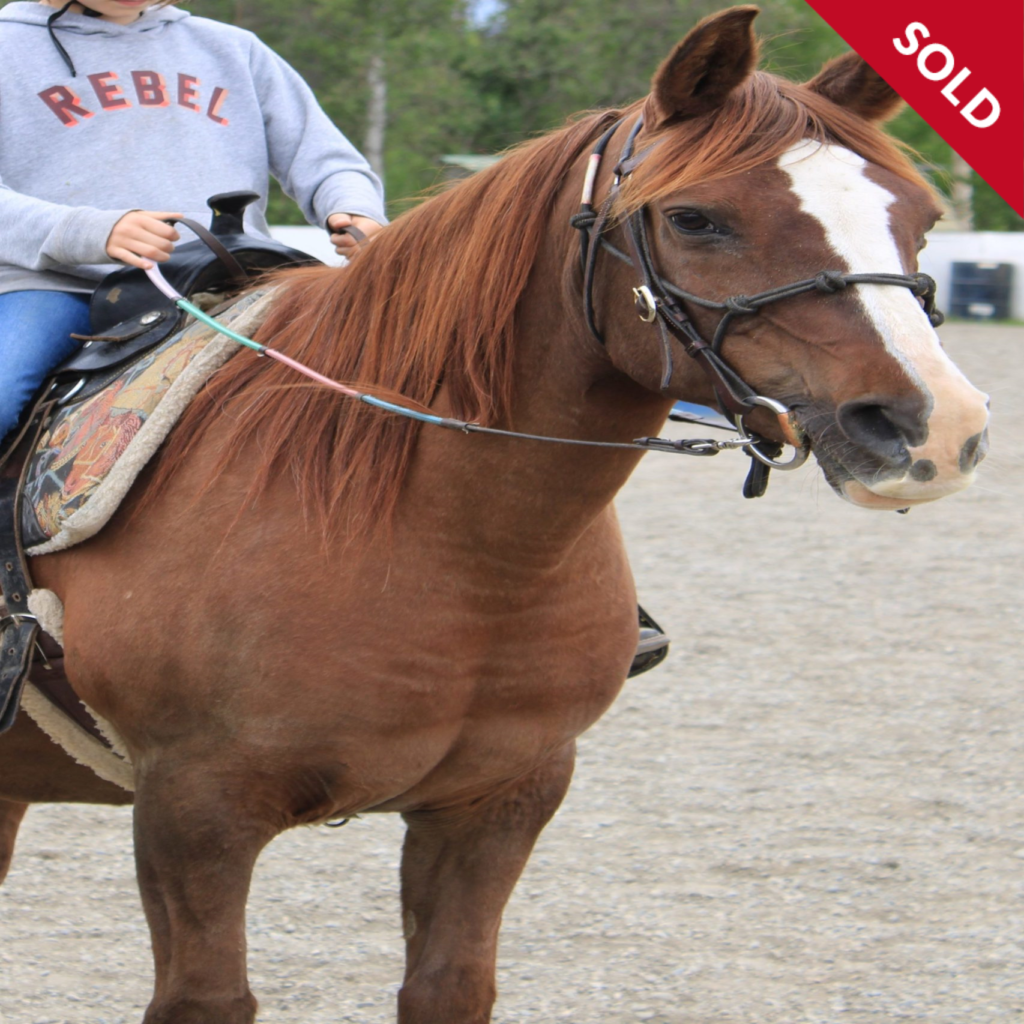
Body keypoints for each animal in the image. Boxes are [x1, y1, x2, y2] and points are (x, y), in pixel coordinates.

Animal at [0, 7, 990, 1022]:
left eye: (918, 219)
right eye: (695, 218)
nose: (932, 425)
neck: (449, 545)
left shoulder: (500, 802)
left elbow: (451, 983)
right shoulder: (193, 814)